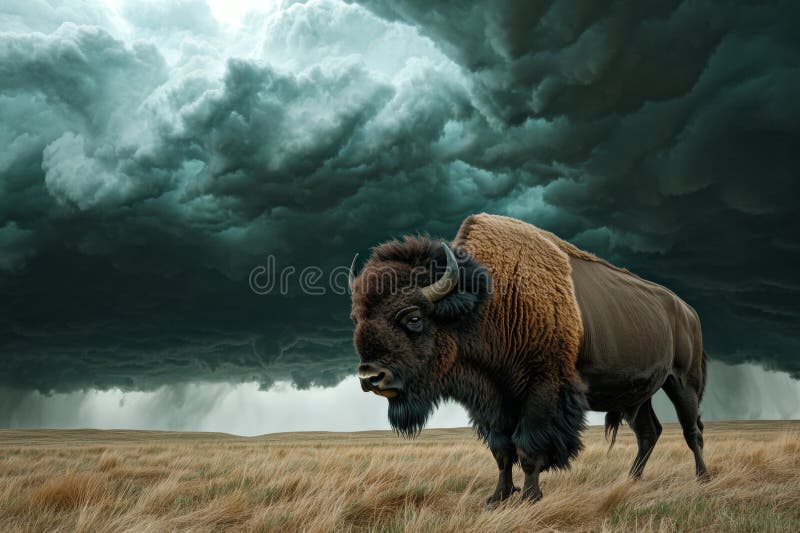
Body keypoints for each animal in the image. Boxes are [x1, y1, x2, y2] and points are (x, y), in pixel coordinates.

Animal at [350, 213, 708, 506]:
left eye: (413, 318)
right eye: (357, 318)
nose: (370, 378)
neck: (487, 301)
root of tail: (688, 310)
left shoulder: (542, 389)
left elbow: (527, 447)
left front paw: (530, 497)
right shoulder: (492, 400)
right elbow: (501, 450)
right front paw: (498, 497)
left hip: (682, 382)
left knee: (692, 430)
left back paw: (702, 478)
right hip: (637, 396)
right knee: (649, 432)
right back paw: (631, 480)